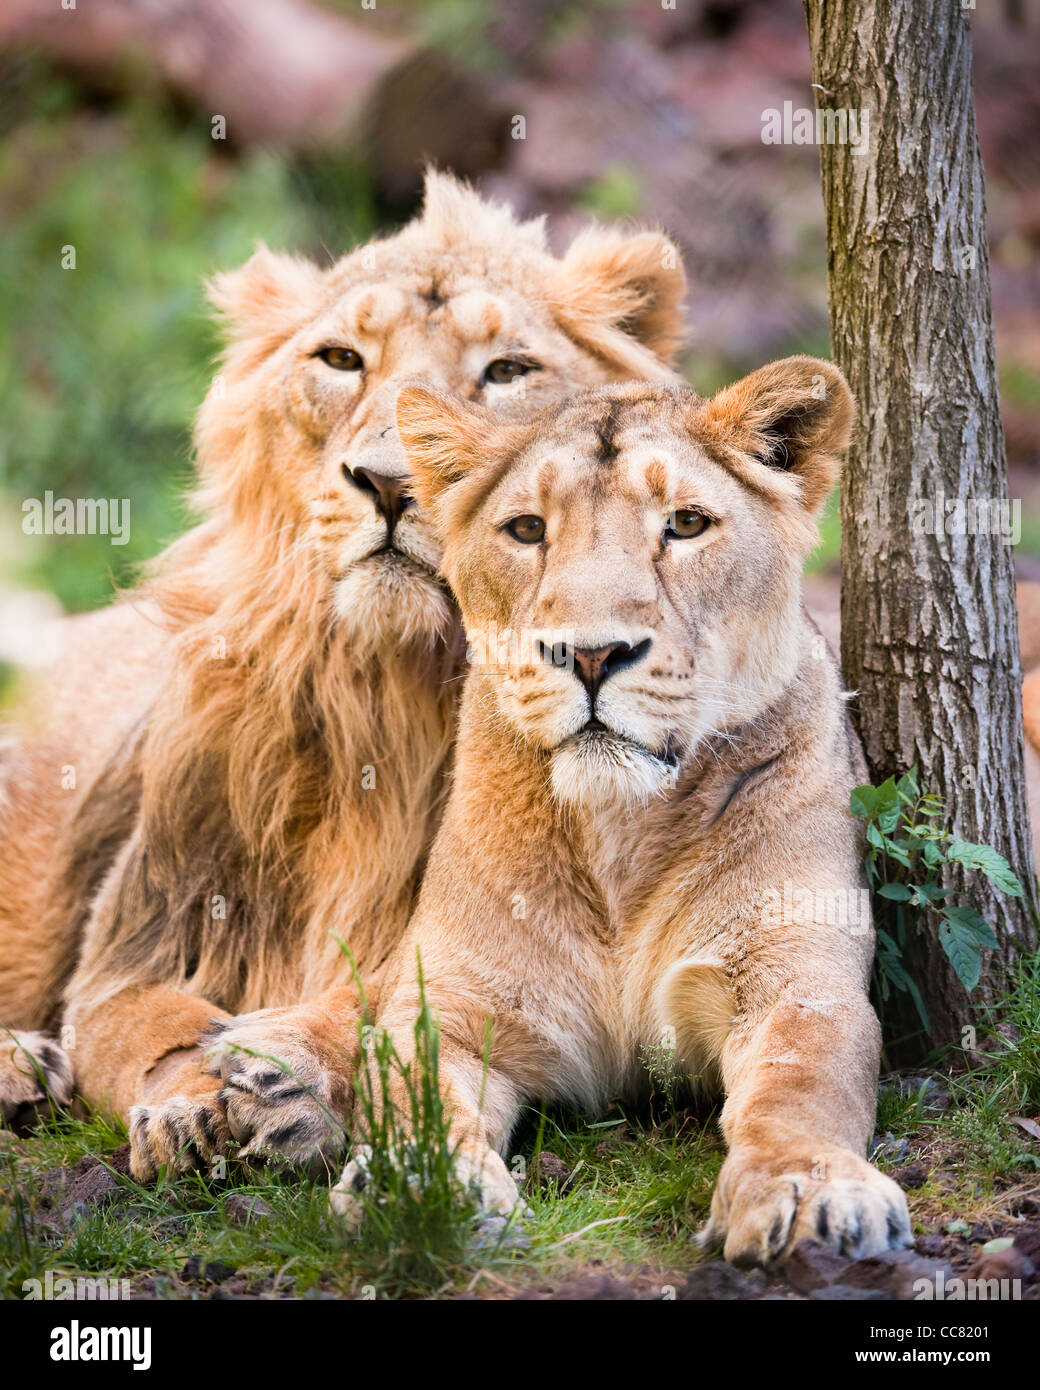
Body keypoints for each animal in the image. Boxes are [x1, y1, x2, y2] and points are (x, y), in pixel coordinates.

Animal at [0, 171, 685, 1178]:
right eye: (341, 359)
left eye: (507, 371)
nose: (392, 484)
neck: (387, 699)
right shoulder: (136, 945)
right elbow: (147, 1025)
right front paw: (191, 1104)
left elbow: (384, 1001)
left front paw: (288, 1078)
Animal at [330, 359, 914, 1267]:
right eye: (527, 529)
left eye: (686, 524)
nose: (591, 654)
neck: (618, 834)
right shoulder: (447, 1008)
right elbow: (413, 1103)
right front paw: (420, 1189)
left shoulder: (797, 982)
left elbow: (801, 1087)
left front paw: (807, 1190)